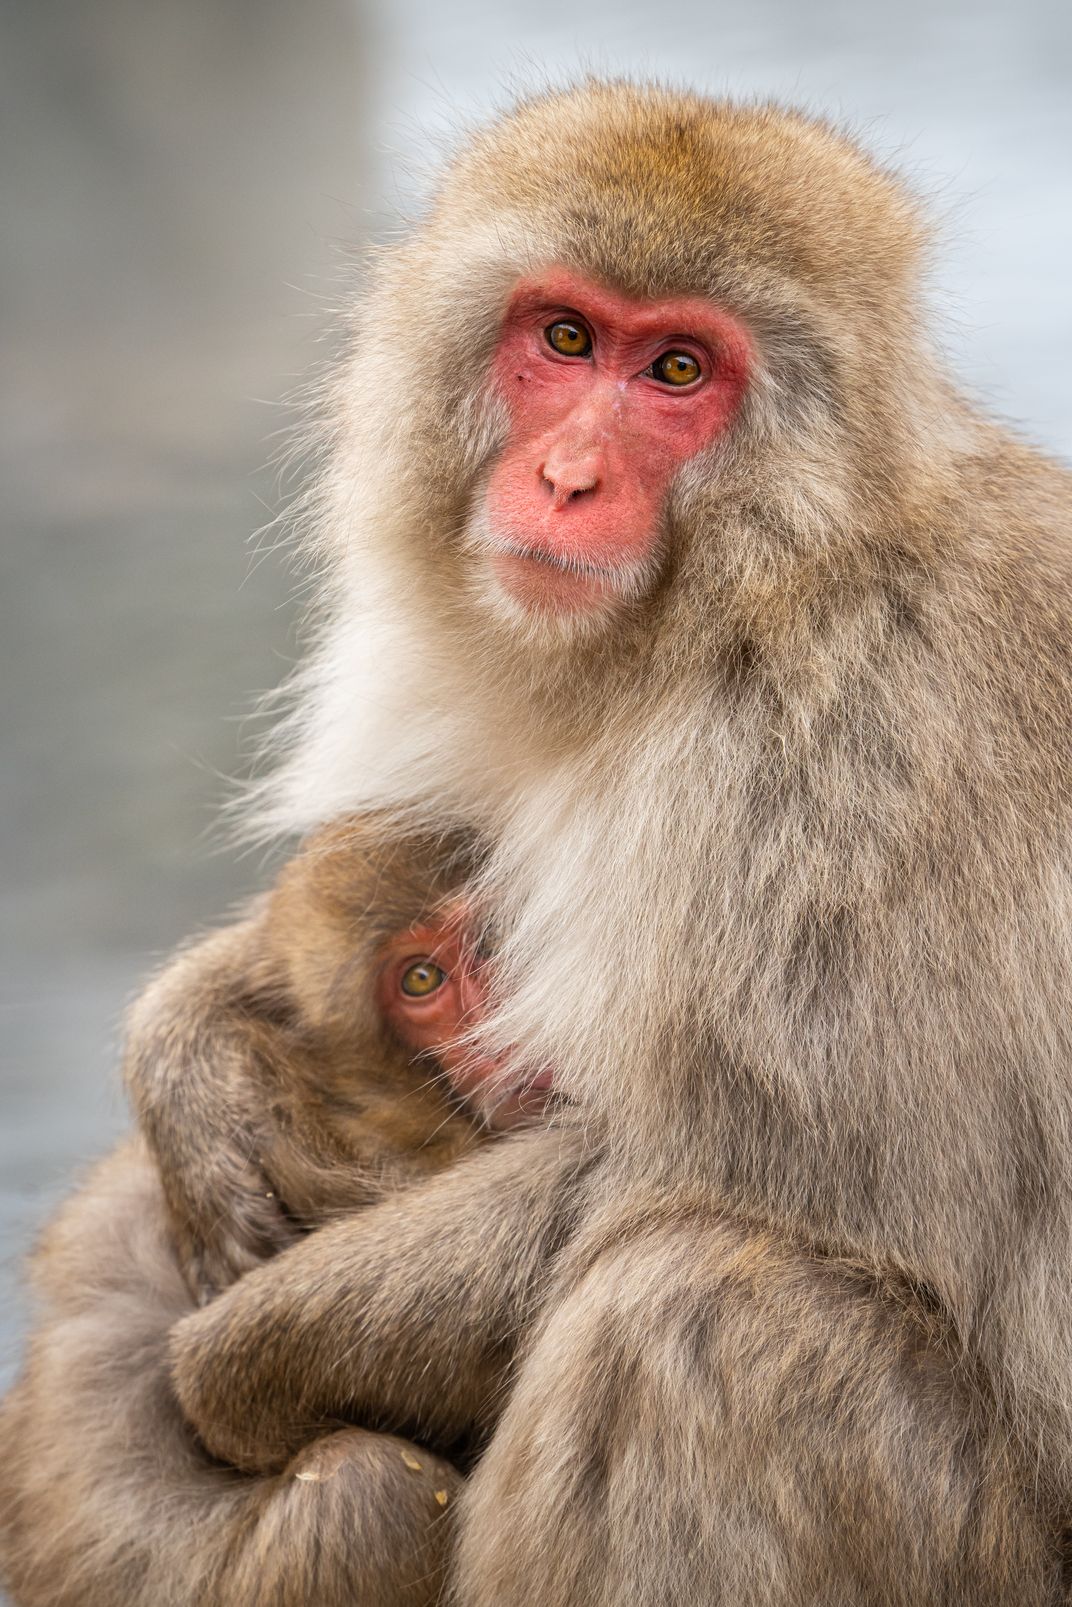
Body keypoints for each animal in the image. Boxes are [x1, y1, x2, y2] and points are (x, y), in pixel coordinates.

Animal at [201, 80, 1072, 1602]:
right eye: (563, 339)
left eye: (676, 370)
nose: (566, 476)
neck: (733, 608)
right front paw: (189, 1044)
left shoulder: (837, 780)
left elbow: (707, 1170)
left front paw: (249, 1351)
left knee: (689, 1312)